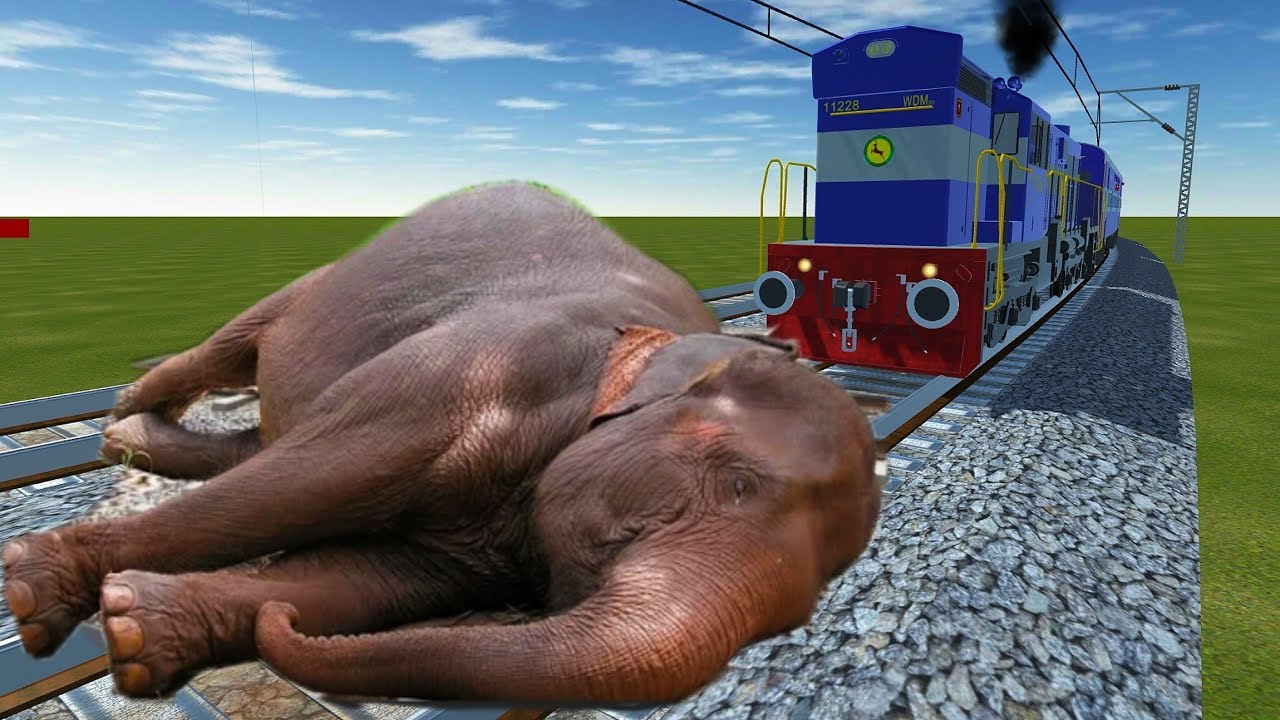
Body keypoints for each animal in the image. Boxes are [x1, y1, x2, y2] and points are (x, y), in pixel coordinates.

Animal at [1, 181, 883, 704]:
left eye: (797, 616)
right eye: (736, 483)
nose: (281, 624)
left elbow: (370, 578)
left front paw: (135, 633)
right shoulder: (479, 368)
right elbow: (314, 477)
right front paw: (34, 601)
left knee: (253, 445)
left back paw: (134, 444)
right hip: (319, 284)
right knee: (236, 366)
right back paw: (121, 422)